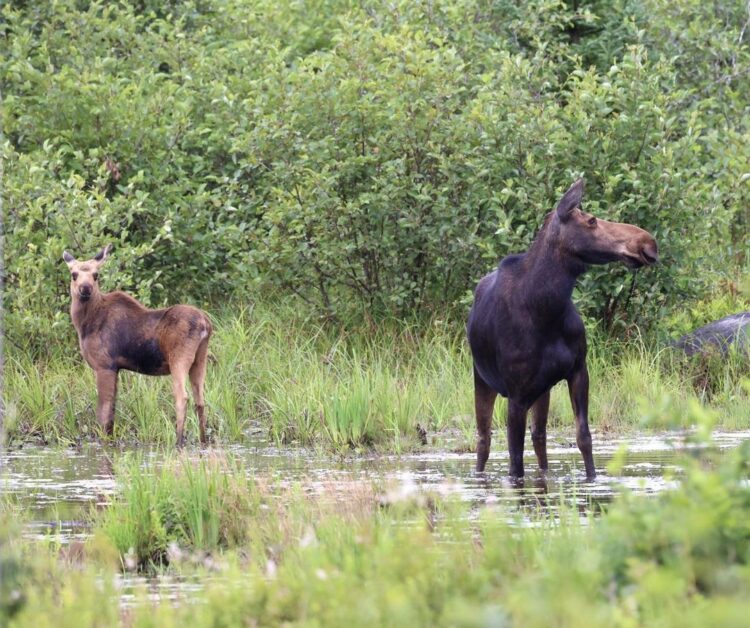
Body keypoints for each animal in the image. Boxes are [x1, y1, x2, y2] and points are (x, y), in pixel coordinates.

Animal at [63, 244, 213, 446]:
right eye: (74, 274)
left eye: (96, 275)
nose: (85, 288)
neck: (83, 324)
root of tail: (205, 324)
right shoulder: (116, 368)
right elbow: (111, 413)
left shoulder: (104, 366)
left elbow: (103, 413)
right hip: (200, 360)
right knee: (200, 401)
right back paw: (203, 441)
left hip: (179, 359)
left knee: (182, 397)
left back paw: (178, 441)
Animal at [467, 179, 658, 479]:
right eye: (591, 220)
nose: (648, 242)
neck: (546, 309)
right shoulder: (516, 394)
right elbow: (515, 462)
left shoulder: (578, 370)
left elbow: (584, 438)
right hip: (482, 378)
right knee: (484, 440)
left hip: (542, 390)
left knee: (539, 436)